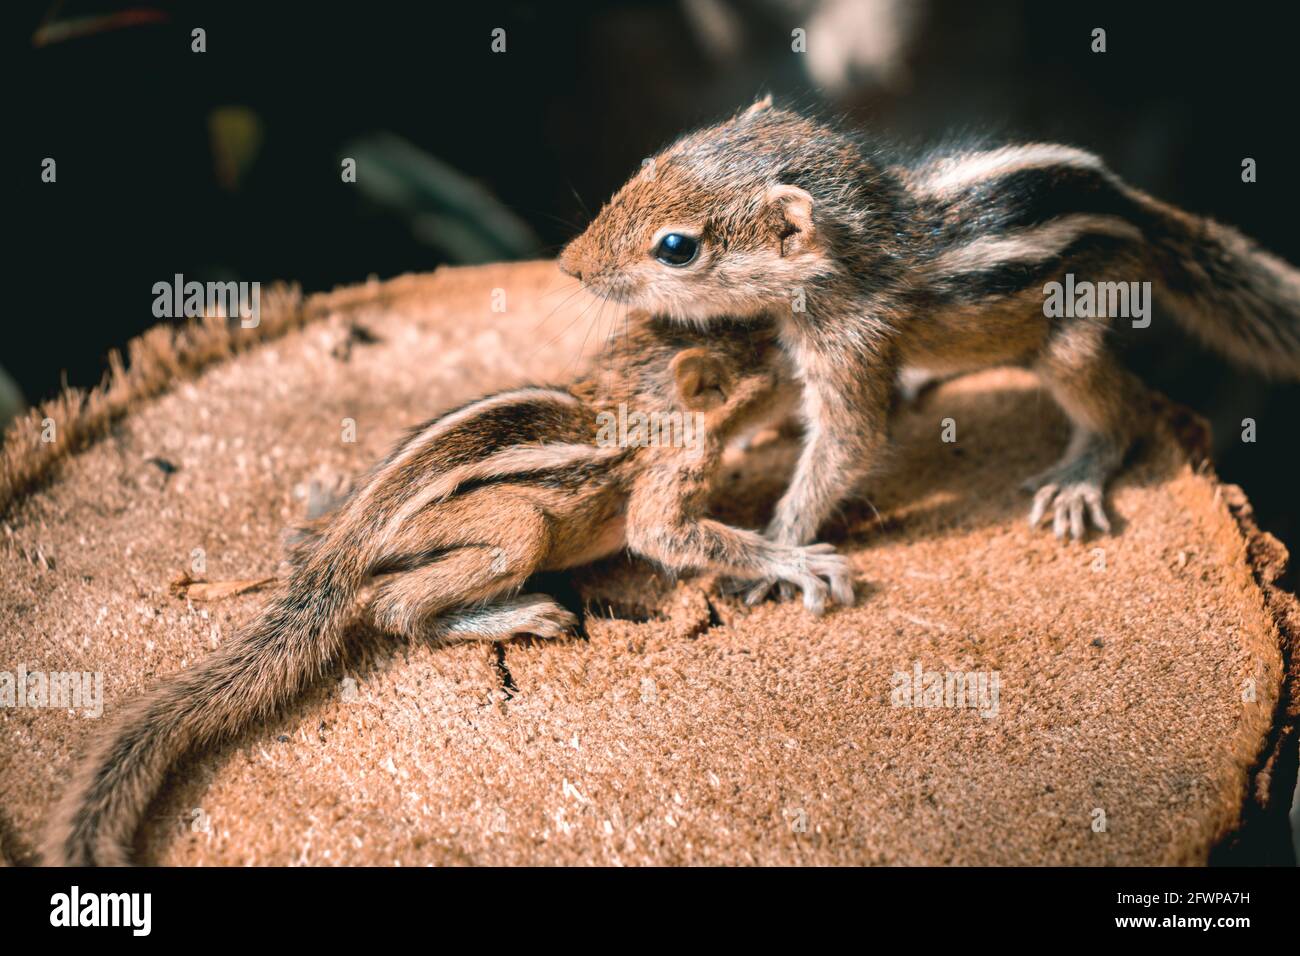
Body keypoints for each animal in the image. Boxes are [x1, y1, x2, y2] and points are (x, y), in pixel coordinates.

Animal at [44, 310, 853, 866]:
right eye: (768, 358)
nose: (810, 354)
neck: (632, 389)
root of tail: (348, 543)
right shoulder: (662, 485)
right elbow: (673, 539)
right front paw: (800, 562)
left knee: (311, 550)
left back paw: (316, 506)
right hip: (516, 527)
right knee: (393, 605)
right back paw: (522, 614)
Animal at [559, 97, 1300, 580]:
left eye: (676, 248)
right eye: (650, 163)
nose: (569, 265)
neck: (860, 243)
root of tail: (1134, 207)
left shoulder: (849, 345)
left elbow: (848, 445)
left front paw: (783, 546)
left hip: (1078, 332)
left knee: (1119, 410)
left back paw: (1078, 479)